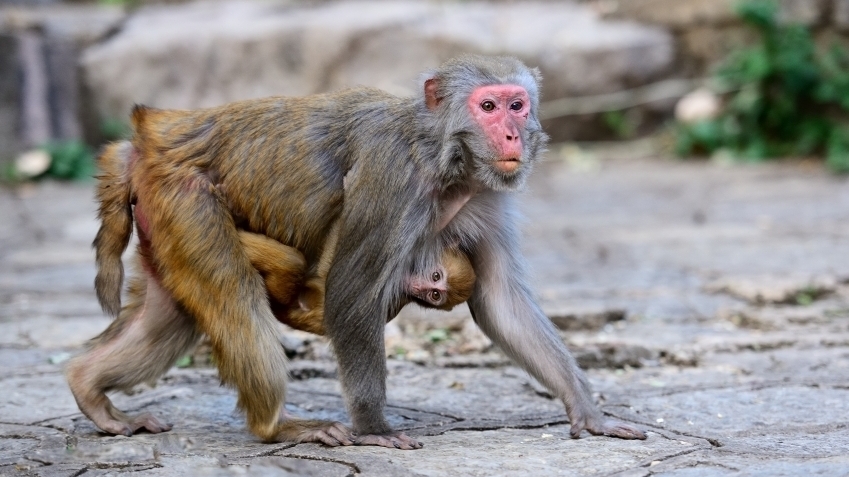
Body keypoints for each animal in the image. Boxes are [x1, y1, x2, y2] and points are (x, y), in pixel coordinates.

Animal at [69, 55, 646, 449]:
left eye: (517, 105)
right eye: (488, 106)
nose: (511, 135)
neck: (441, 157)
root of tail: (153, 134)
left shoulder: (485, 197)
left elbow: (500, 303)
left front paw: (586, 409)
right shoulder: (392, 180)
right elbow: (348, 295)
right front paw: (373, 429)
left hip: (164, 218)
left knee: (168, 316)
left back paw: (90, 390)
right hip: (187, 197)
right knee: (235, 300)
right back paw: (275, 426)